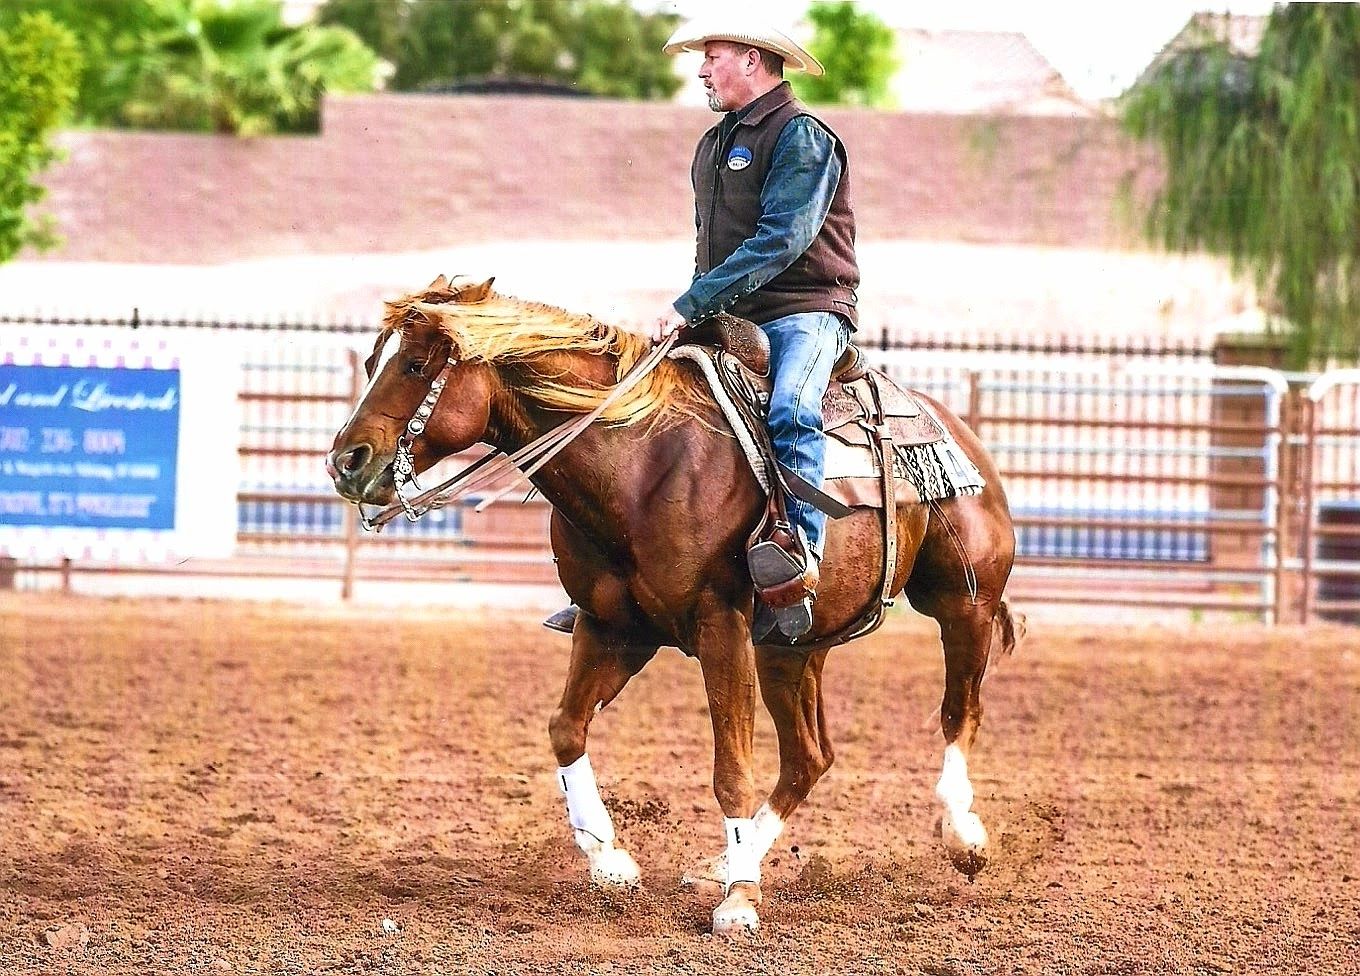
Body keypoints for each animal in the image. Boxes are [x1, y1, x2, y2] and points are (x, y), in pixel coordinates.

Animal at [325, 276, 1021, 936]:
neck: (639, 464)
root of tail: (955, 429)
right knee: (808, 756)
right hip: (793, 646)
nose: (345, 461)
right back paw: (731, 861)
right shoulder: (612, 627)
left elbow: (731, 768)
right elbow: (565, 728)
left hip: (964, 604)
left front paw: (739, 905)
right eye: (374, 360)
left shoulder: (721, 627)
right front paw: (611, 861)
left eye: (417, 364)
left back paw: (962, 835)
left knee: (960, 712)